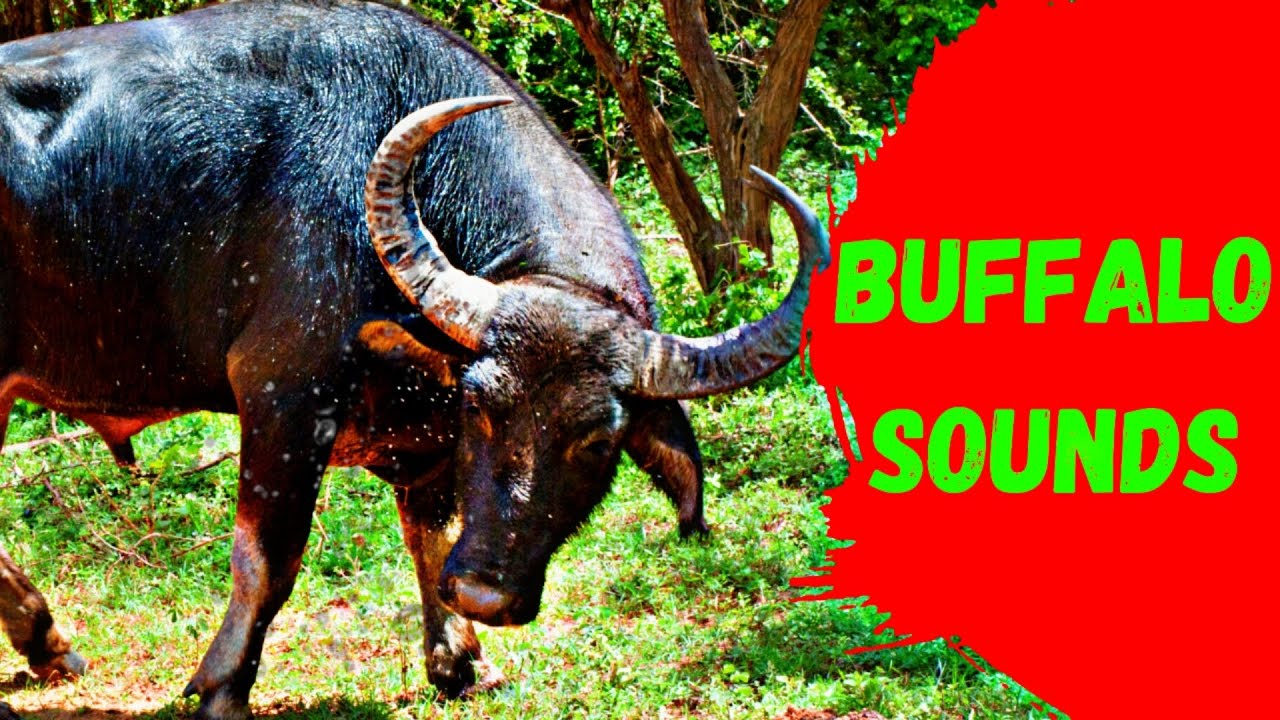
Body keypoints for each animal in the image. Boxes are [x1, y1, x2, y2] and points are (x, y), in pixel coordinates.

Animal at [0, 1, 830, 718]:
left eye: (598, 441)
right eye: (483, 408)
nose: (488, 596)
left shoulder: (424, 443)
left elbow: (429, 530)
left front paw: (459, 661)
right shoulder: (284, 399)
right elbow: (268, 561)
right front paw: (222, 684)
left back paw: (48, 642)